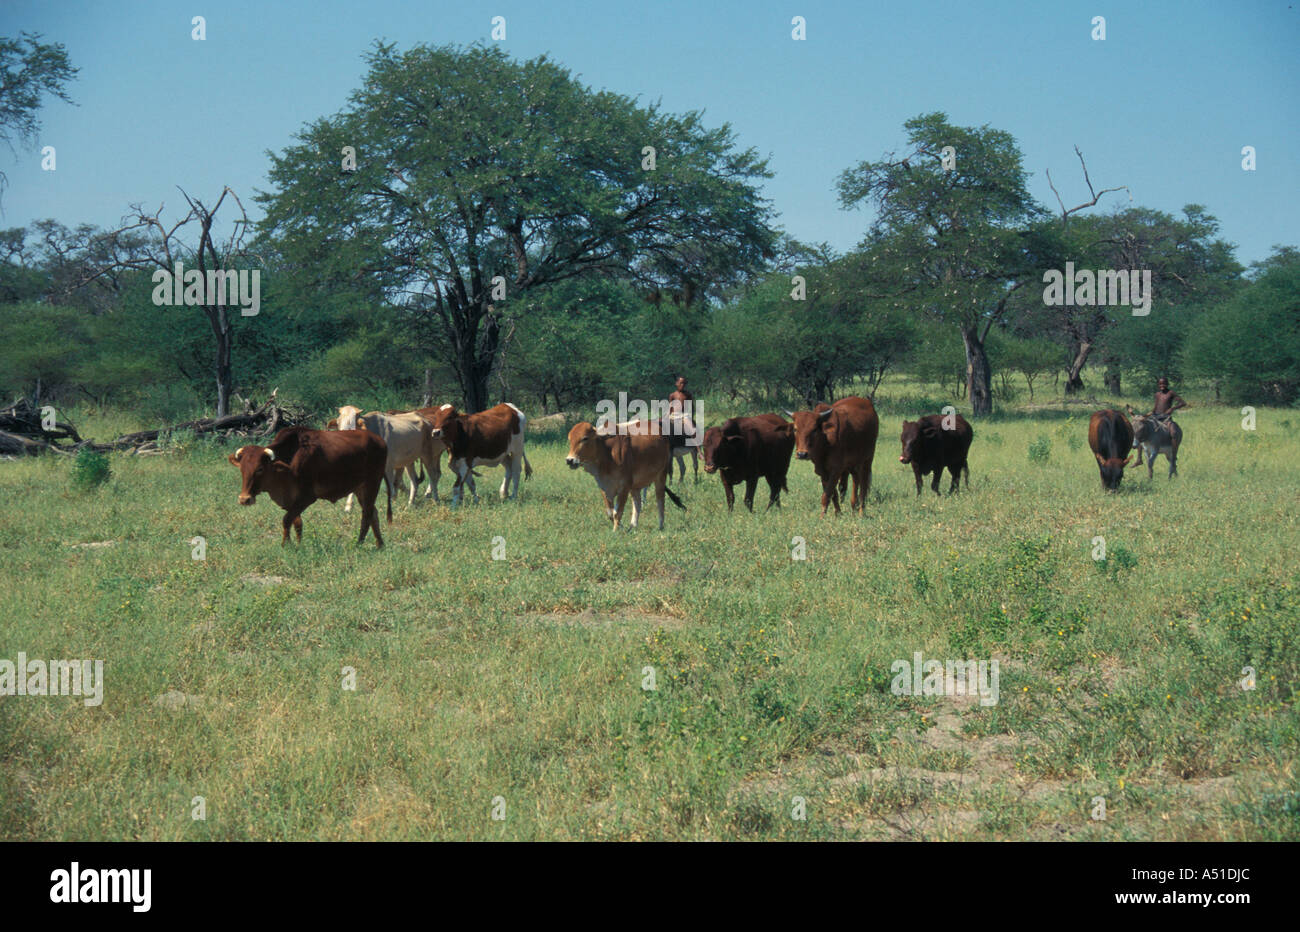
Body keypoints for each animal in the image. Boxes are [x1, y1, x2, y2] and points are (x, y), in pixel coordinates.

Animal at [227, 427, 391, 547]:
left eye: (260, 469)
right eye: (242, 469)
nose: (244, 499)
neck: (290, 460)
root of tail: (380, 440)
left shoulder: (307, 497)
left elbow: (286, 520)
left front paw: (286, 545)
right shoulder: (291, 501)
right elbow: (297, 522)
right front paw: (298, 545)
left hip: (372, 484)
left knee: (367, 515)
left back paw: (359, 544)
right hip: (360, 488)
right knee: (373, 513)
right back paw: (380, 544)